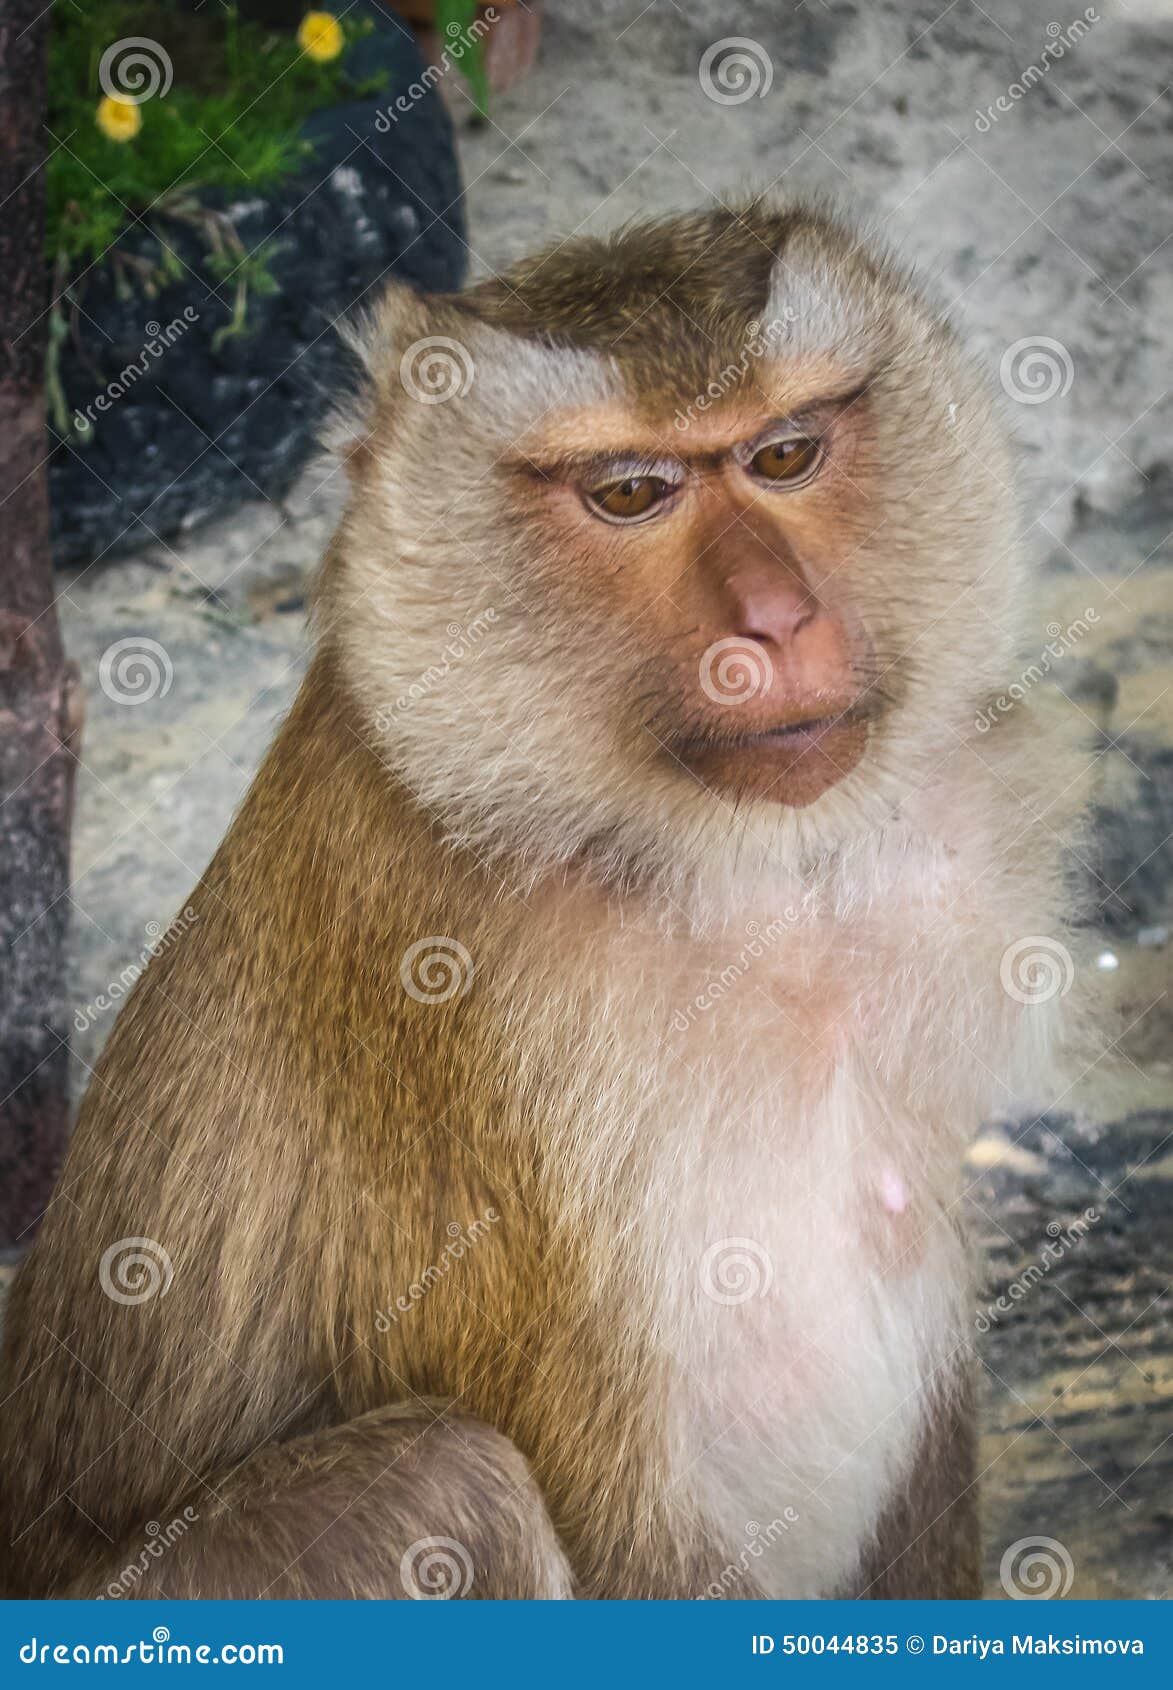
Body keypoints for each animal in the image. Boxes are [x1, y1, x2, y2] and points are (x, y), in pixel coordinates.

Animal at [0, 198, 1087, 1601]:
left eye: (786, 453)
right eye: (629, 493)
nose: (780, 619)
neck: (728, 872)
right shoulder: (476, 1022)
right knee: (440, 1485)